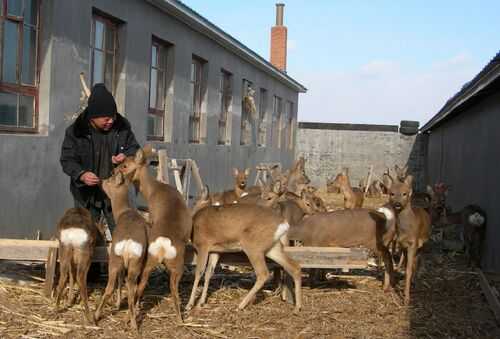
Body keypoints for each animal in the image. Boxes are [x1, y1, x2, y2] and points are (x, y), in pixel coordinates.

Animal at [94, 173, 147, 330]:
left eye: (109, 180)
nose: (100, 181)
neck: (125, 211)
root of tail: (127, 243)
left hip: (115, 260)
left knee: (111, 286)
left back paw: (97, 316)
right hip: (133, 264)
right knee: (130, 289)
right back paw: (133, 323)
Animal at [116, 146, 192, 322]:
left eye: (125, 165)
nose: (114, 170)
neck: (154, 190)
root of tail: (163, 245)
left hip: (149, 262)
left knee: (141, 285)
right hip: (176, 266)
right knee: (173, 289)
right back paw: (180, 319)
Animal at [388, 175, 432, 306]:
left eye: (404, 193)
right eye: (392, 193)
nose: (397, 204)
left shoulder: (413, 243)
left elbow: (408, 269)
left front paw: (406, 299)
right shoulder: (402, 244)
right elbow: (405, 265)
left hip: (424, 243)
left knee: (419, 261)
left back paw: (415, 279)